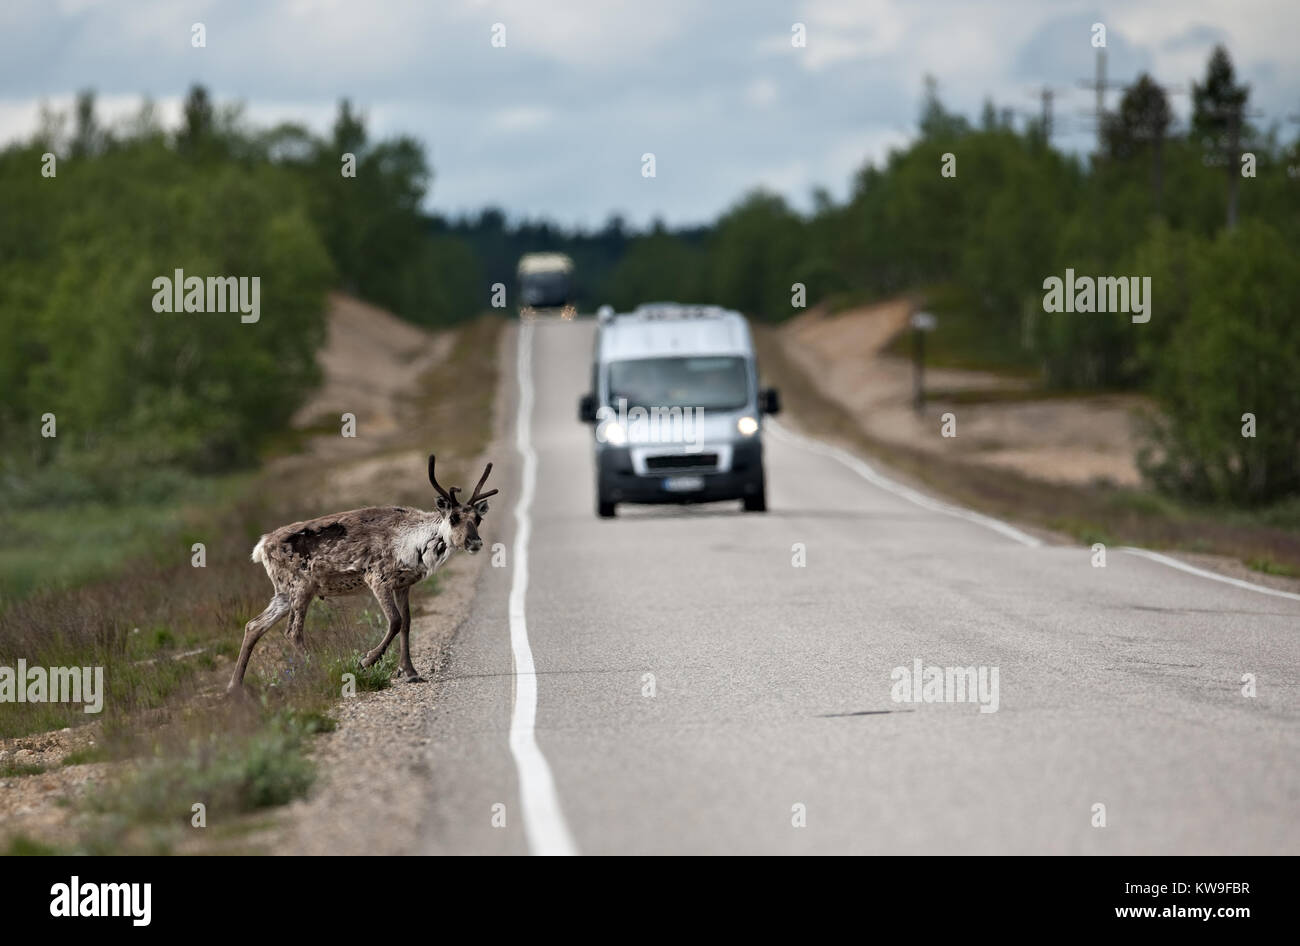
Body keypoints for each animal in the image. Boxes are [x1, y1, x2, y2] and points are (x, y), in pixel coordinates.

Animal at [226, 455, 497, 692]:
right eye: (453, 518)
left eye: (478, 519)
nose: (475, 542)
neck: (413, 541)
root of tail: (262, 546)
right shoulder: (377, 578)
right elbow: (395, 621)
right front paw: (367, 660)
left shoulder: (403, 585)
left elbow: (407, 623)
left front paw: (410, 672)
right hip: (301, 587)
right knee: (292, 632)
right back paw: (319, 670)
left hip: (283, 593)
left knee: (254, 625)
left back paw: (234, 687)